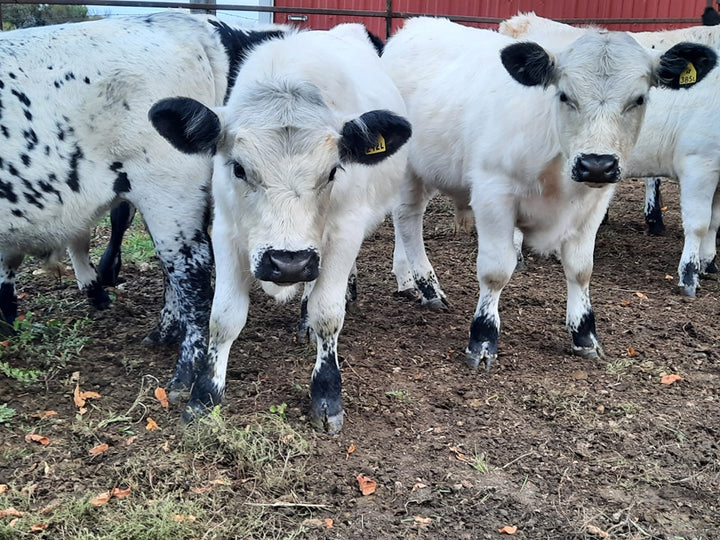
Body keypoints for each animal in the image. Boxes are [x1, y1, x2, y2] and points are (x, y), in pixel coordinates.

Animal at [150, 23, 411, 433]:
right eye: (239, 168)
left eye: (333, 171)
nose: (288, 263)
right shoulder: (226, 231)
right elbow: (223, 317)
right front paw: (204, 396)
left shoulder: (344, 231)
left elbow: (328, 312)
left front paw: (326, 394)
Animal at [500, 13, 720, 296]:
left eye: (639, 99)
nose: (596, 164)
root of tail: (519, 23)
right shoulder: (699, 161)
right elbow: (699, 223)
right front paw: (689, 277)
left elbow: (714, 222)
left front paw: (708, 264)